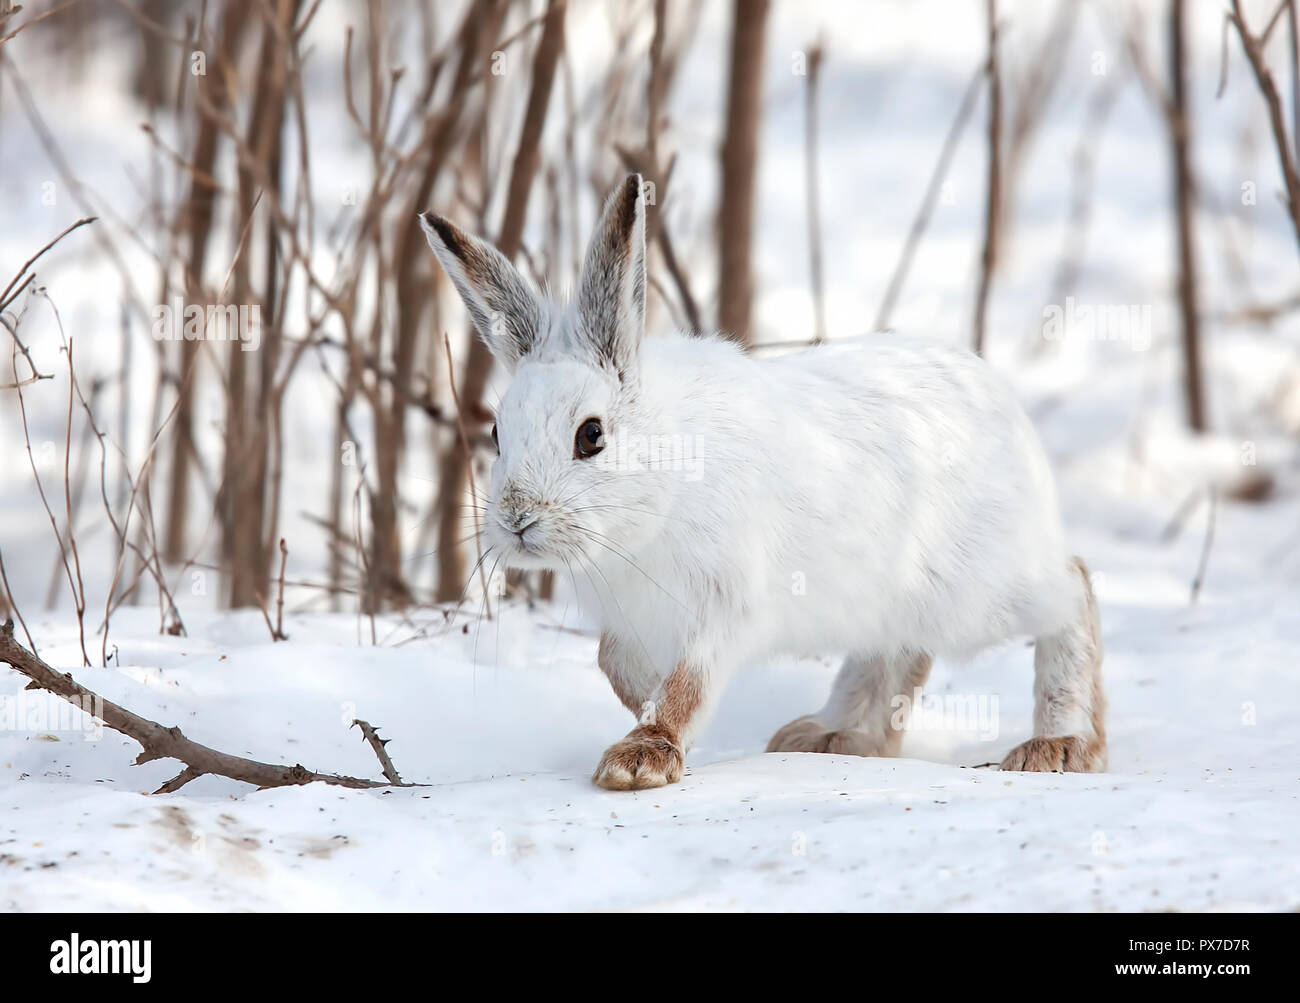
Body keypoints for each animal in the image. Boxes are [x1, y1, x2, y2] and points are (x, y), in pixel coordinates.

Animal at [420, 173, 1106, 791]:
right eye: (496, 434)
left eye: (590, 435)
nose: (517, 520)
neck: (663, 474)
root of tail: (1002, 402)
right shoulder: (628, 620)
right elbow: (611, 664)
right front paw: (644, 714)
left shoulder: (725, 602)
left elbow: (689, 682)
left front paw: (642, 758)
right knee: (896, 651)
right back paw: (833, 736)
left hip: (980, 589)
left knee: (1072, 587)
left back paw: (1060, 745)